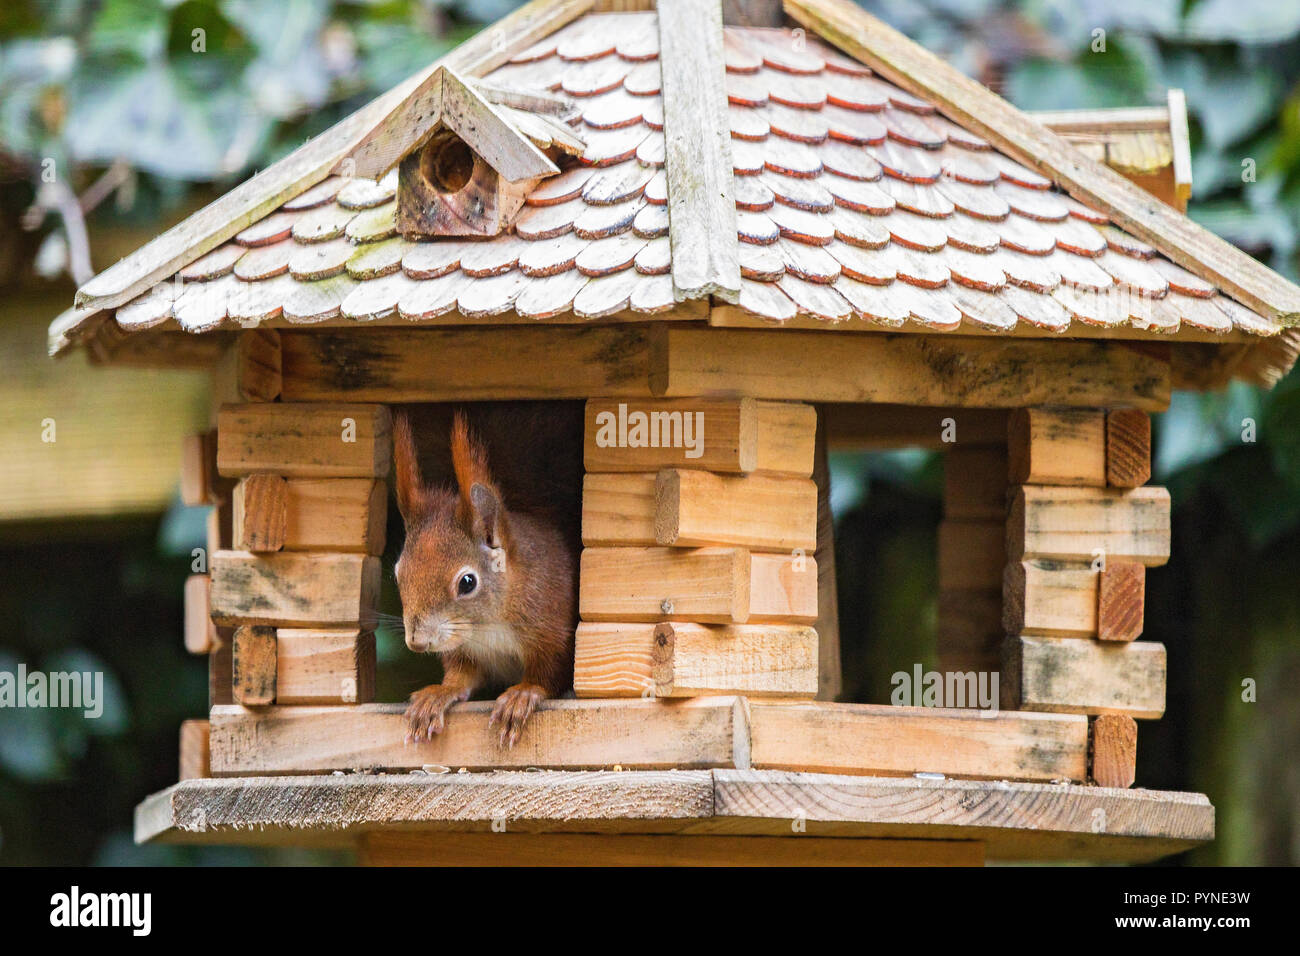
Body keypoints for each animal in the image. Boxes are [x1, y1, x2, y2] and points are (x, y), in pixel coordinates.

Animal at [392, 409, 577, 747]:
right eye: (398, 573)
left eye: (467, 582)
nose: (418, 642)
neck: (488, 626)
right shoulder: (464, 649)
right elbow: (462, 676)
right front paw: (439, 694)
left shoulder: (554, 632)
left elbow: (547, 674)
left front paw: (523, 694)